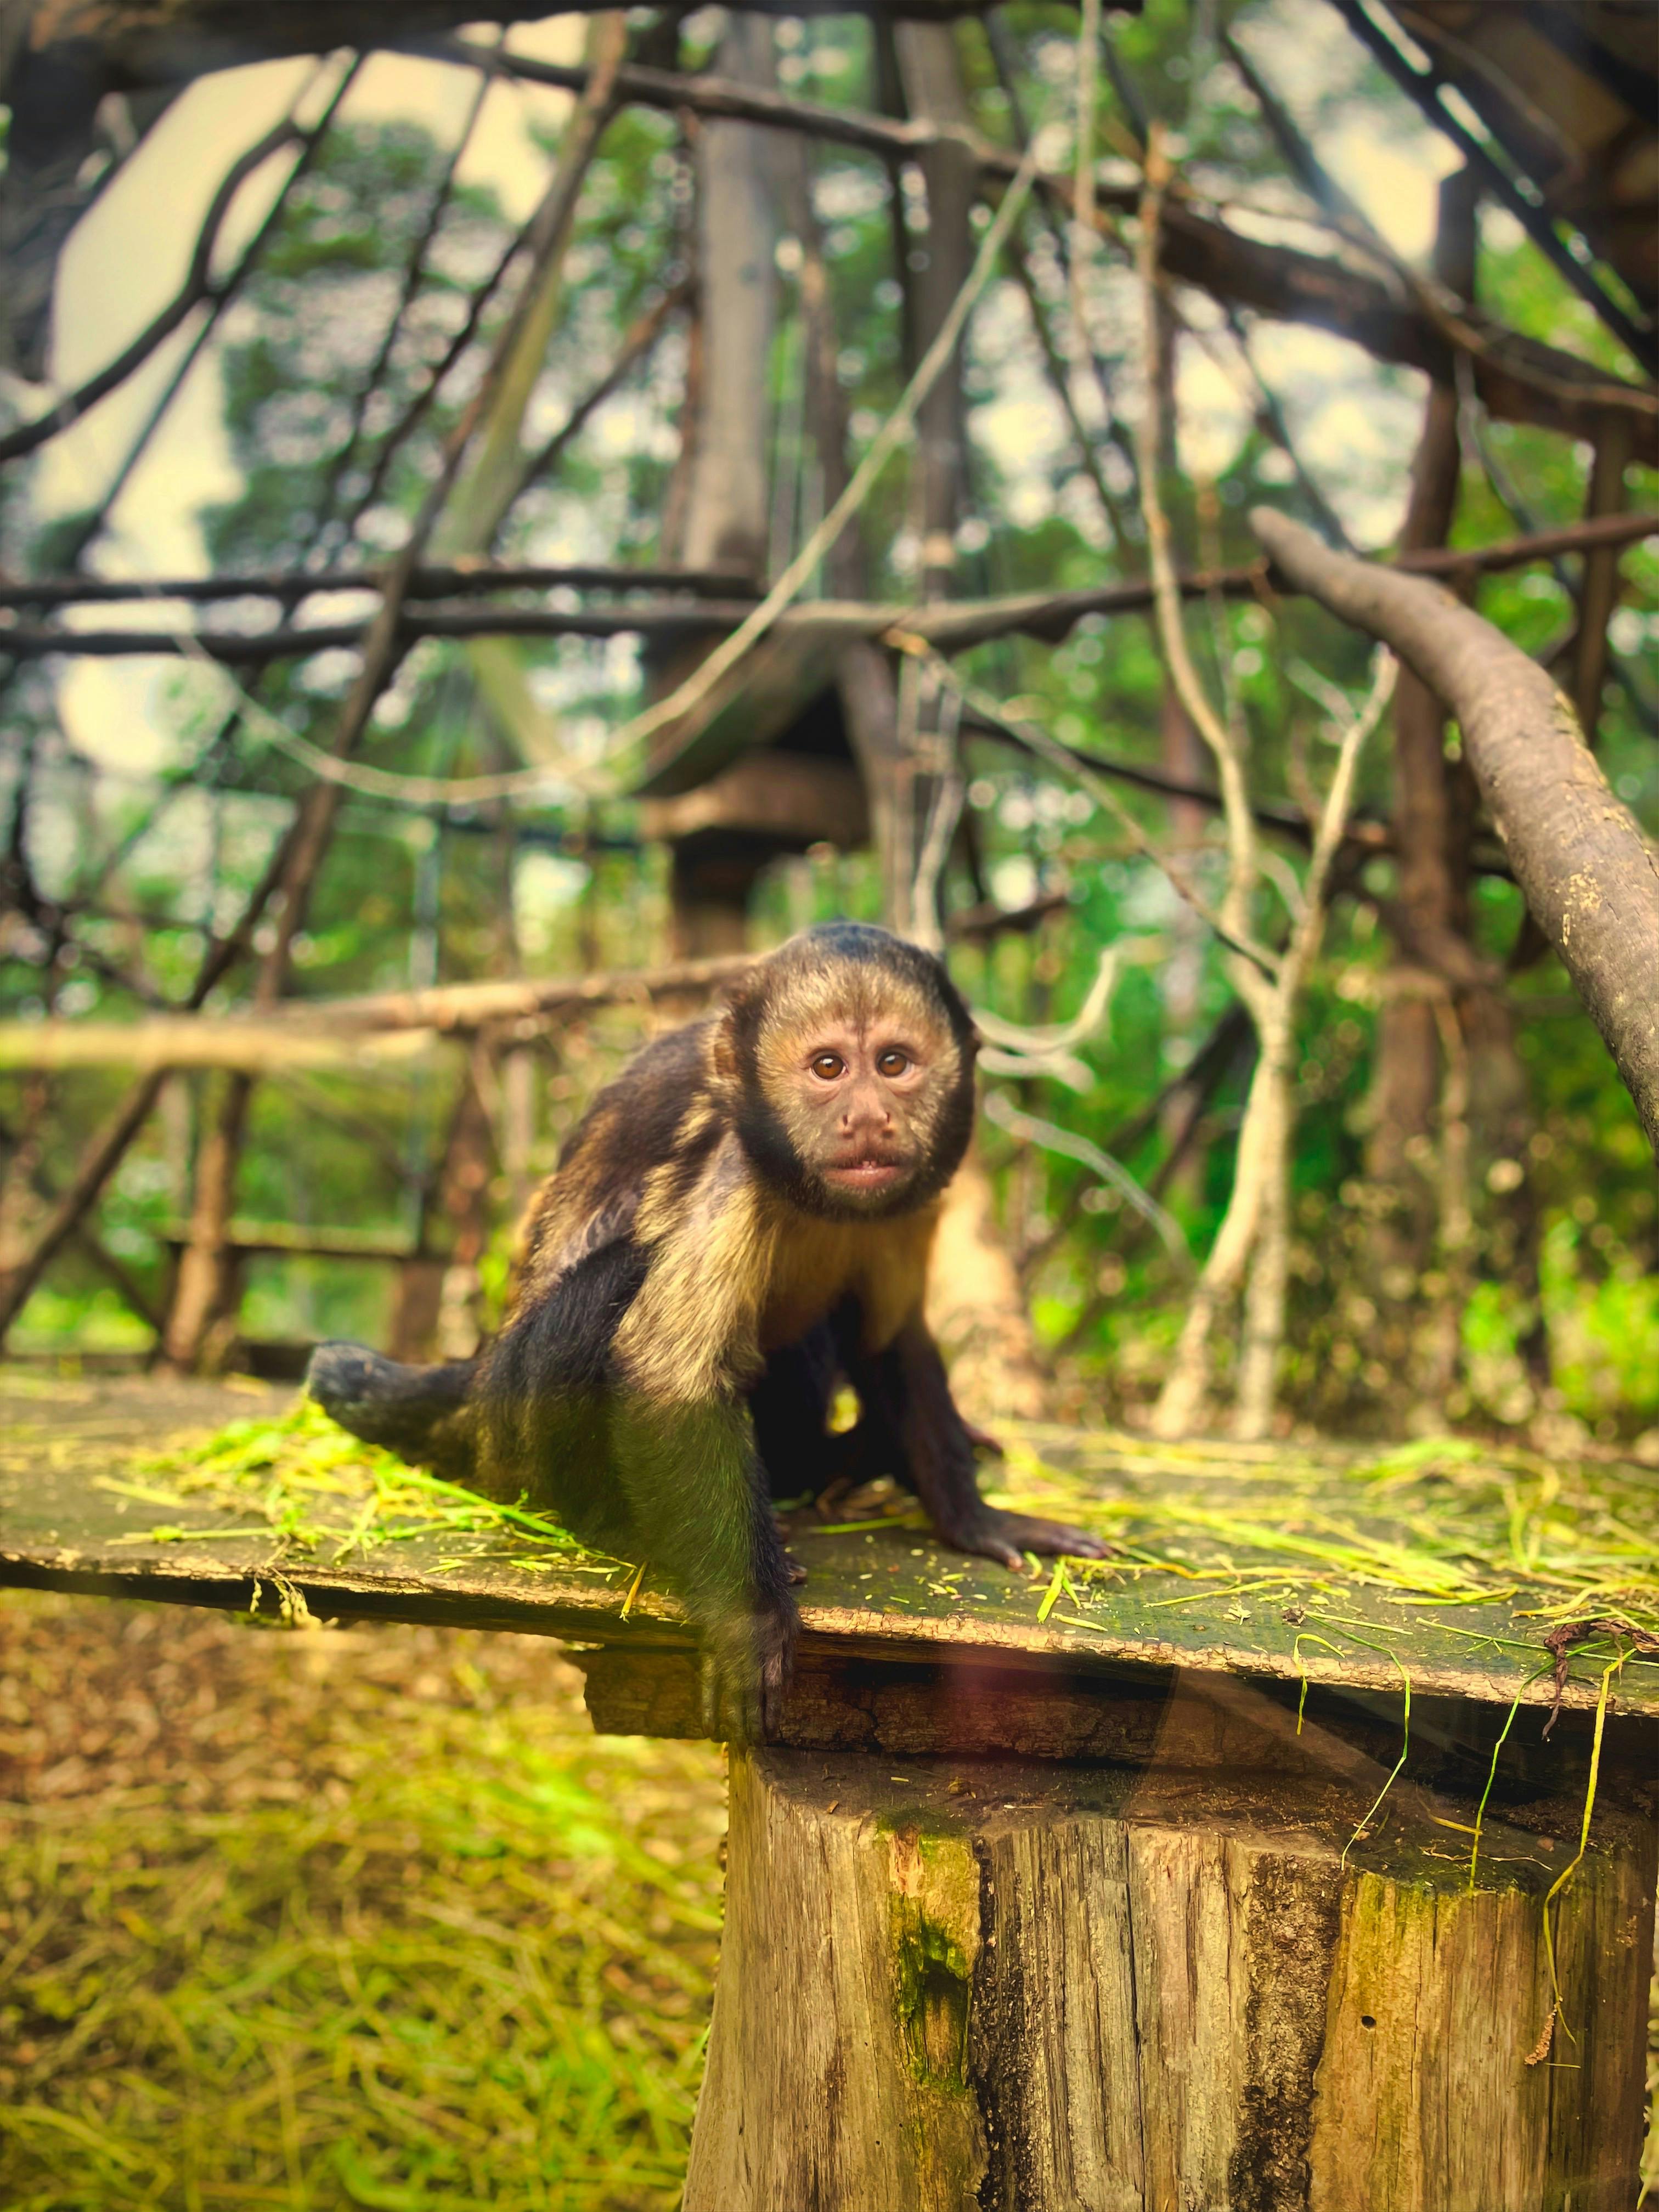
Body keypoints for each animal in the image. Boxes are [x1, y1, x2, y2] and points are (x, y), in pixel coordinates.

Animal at [307, 921, 1106, 1738]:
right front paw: (747, 1616)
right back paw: (619, 1529)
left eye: (893, 1064)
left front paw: (975, 1521)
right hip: (510, 1436)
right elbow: (670, 1378)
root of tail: (478, 1372)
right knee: (620, 1287)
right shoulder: (736, 1166)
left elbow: (893, 1342)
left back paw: (837, 1466)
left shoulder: (914, 1193)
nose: (867, 1117)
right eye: (828, 1068)